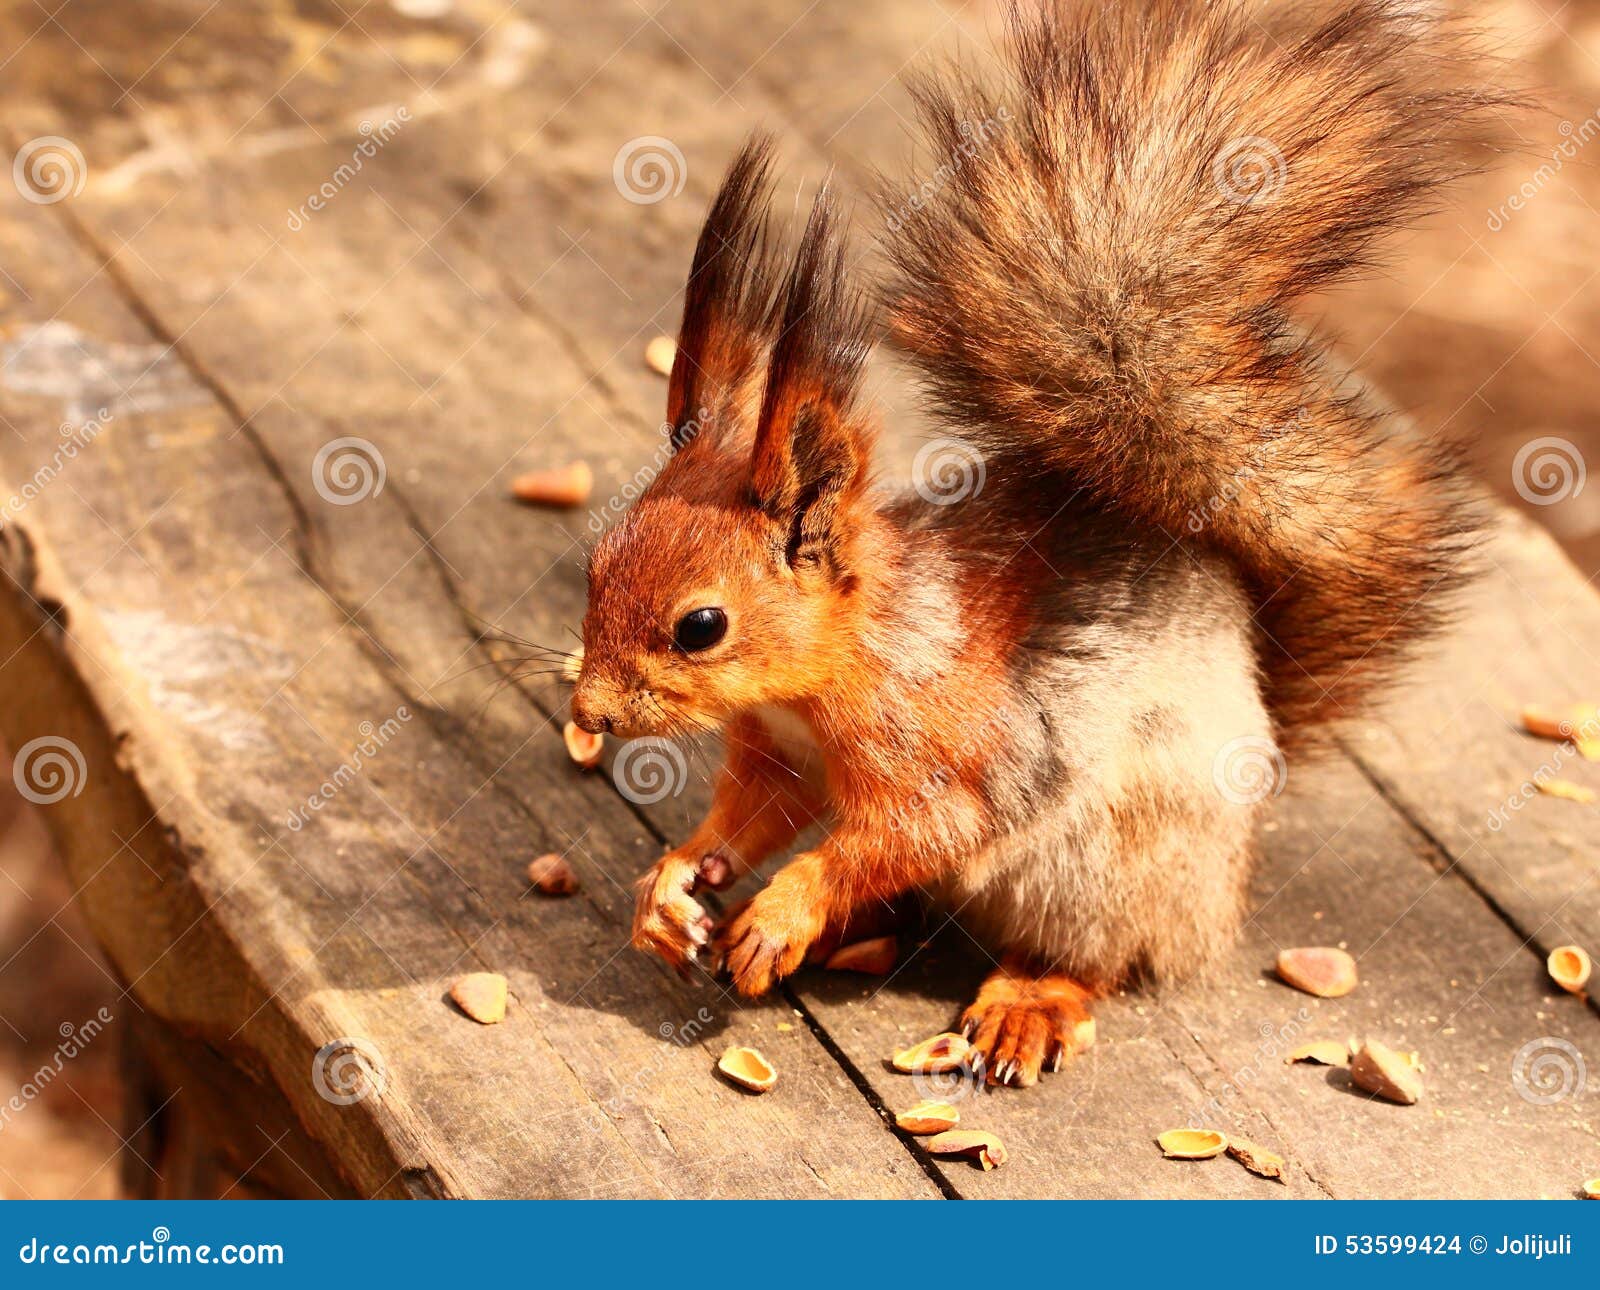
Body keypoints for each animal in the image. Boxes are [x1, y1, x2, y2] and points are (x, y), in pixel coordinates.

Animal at [571, 0, 1508, 1087]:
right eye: (595, 566)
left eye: (701, 626)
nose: (588, 713)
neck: (840, 664)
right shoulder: (783, 760)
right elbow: (749, 819)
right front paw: (673, 882)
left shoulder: (951, 754)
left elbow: (900, 837)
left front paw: (785, 909)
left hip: (1113, 863)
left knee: (1096, 958)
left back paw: (1024, 999)